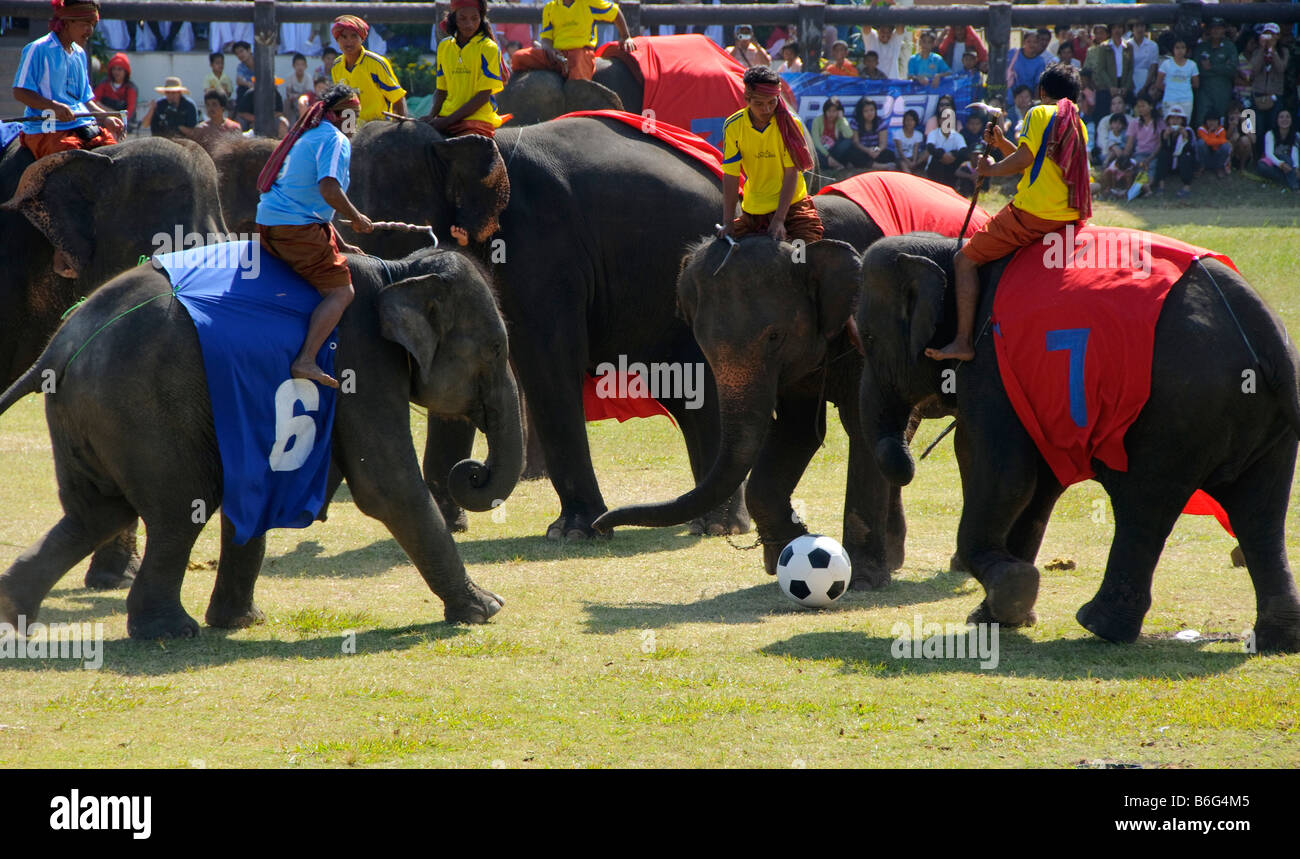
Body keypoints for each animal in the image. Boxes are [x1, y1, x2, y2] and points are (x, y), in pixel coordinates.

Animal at [0, 246, 521, 640]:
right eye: (496, 348)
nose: (472, 471)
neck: (399, 270)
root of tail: (57, 349)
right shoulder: (359, 358)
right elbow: (386, 485)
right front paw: (487, 609)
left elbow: (256, 483)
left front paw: (241, 622)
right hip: (139, 406)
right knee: (178, 509)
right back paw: (169, 631)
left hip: (86, 415)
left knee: (96, 513)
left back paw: (14, 619)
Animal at [346, 115, 750, 541]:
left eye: (382, 228)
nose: (473, 473)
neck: (454, 141)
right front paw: (447, 525)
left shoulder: (543, 247)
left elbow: (548, 362)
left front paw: (573, 533)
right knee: (685, 395)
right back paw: (704, 521)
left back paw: (719, 526)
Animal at [594, 194, 916, 589]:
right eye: (703, 343)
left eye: (775, 337)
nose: (600, 526)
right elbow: (797, 431)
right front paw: (782, 555)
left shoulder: (867, 329)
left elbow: (860, 425)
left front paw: (864, 582)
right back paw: (895, 557)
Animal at [855, 233, 1300, 652]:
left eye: (869, 338)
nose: (910, 462)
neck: (951, 246)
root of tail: (1264, 341)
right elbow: (1038, 488)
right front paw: (1000, 614)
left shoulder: (989, 368)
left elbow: (1003, 473)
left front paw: (1009, 592)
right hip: (1269, 426)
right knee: (1260, 514)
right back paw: (1275, 639)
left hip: (1175, 414)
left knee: (1145, 508)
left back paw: (1100, 627)